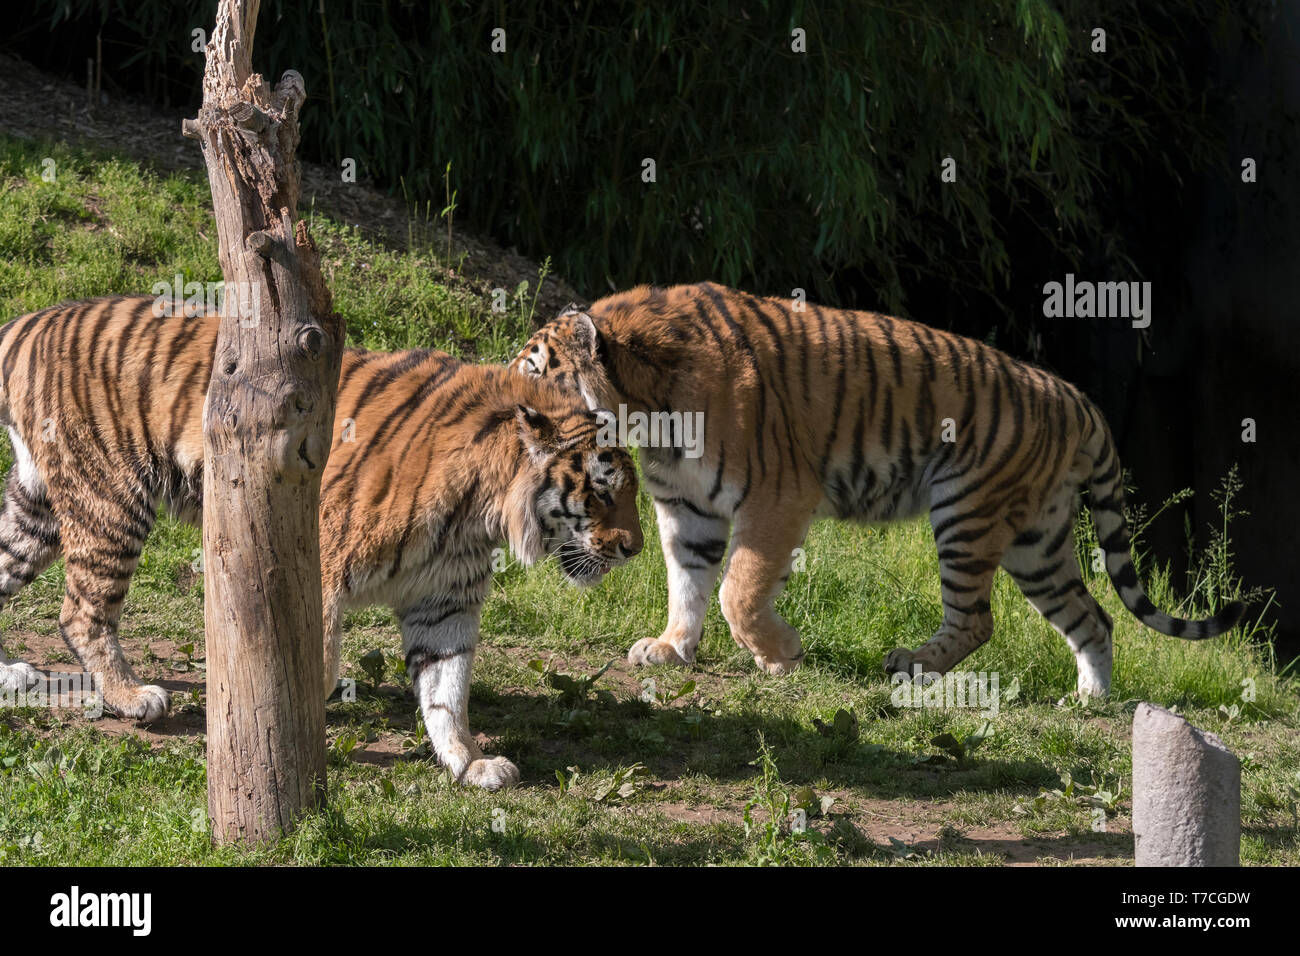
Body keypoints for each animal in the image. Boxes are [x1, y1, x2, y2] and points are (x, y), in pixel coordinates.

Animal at [0, 295, 643, 790]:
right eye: (603, 491)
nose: (635, 549)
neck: (480, 513)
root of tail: (32, 320)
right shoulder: (322, 567)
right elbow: (320, 668)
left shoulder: (445, 600)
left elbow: (447, 689)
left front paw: (470, 763)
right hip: (110, 500)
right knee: (81, 612)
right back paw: (132, 696)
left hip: (36, 512)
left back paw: (14, 676)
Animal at [509, 281, 1245, 698]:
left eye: (537, 371)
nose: (510, 415)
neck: (647, 410)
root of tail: (1077, 399)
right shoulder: (687, 506)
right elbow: (687, 583)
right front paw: (670, 647)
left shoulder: (777, 496)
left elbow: (737, 590)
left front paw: (780, 656)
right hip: (1037, 541)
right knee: (1092, 616)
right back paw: (1089, 701)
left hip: (967, 512)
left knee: (978, 619)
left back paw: (912, 667)